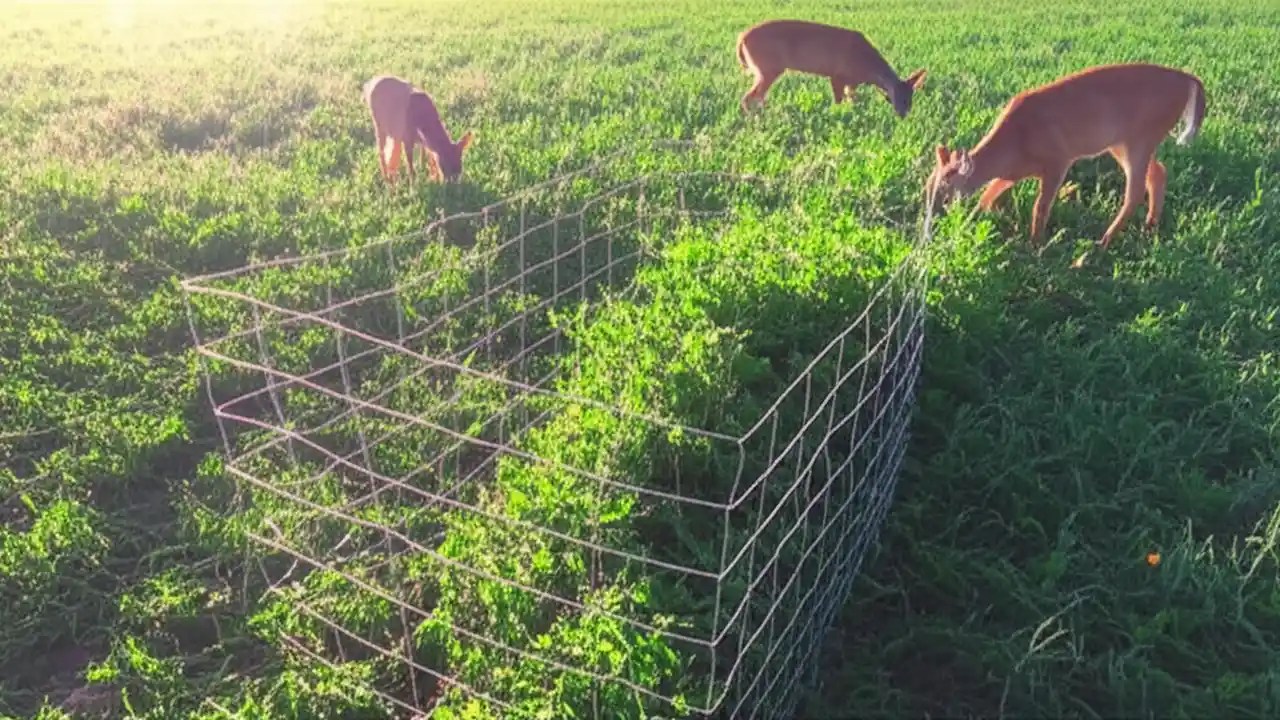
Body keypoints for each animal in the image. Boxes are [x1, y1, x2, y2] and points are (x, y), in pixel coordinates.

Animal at [736, 19, 927, 117]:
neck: (867, 66)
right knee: (749, 97)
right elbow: (838, 101)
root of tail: (742, 38)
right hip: (769, 67)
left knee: (757, 96)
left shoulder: (852, 81)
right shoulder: (837, 75)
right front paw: (837, 116)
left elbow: (852, 100)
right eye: (902, 100)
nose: (903, 116)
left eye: (911, 100)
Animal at [925, 63, 1207, 265]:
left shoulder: (1058, 159)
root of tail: (1189, 80)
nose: (929, 226)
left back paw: (1101, 244)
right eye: (927, 188)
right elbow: (988, 194)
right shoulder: (1015, 171)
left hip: (1141, 135)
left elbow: (1040, 207)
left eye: (944, 192)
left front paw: (1036, 245)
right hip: (1123, 143)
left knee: (1135, 191)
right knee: (1158, 173)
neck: (1016, 142)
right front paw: (979, 221)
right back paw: (1149, 227)